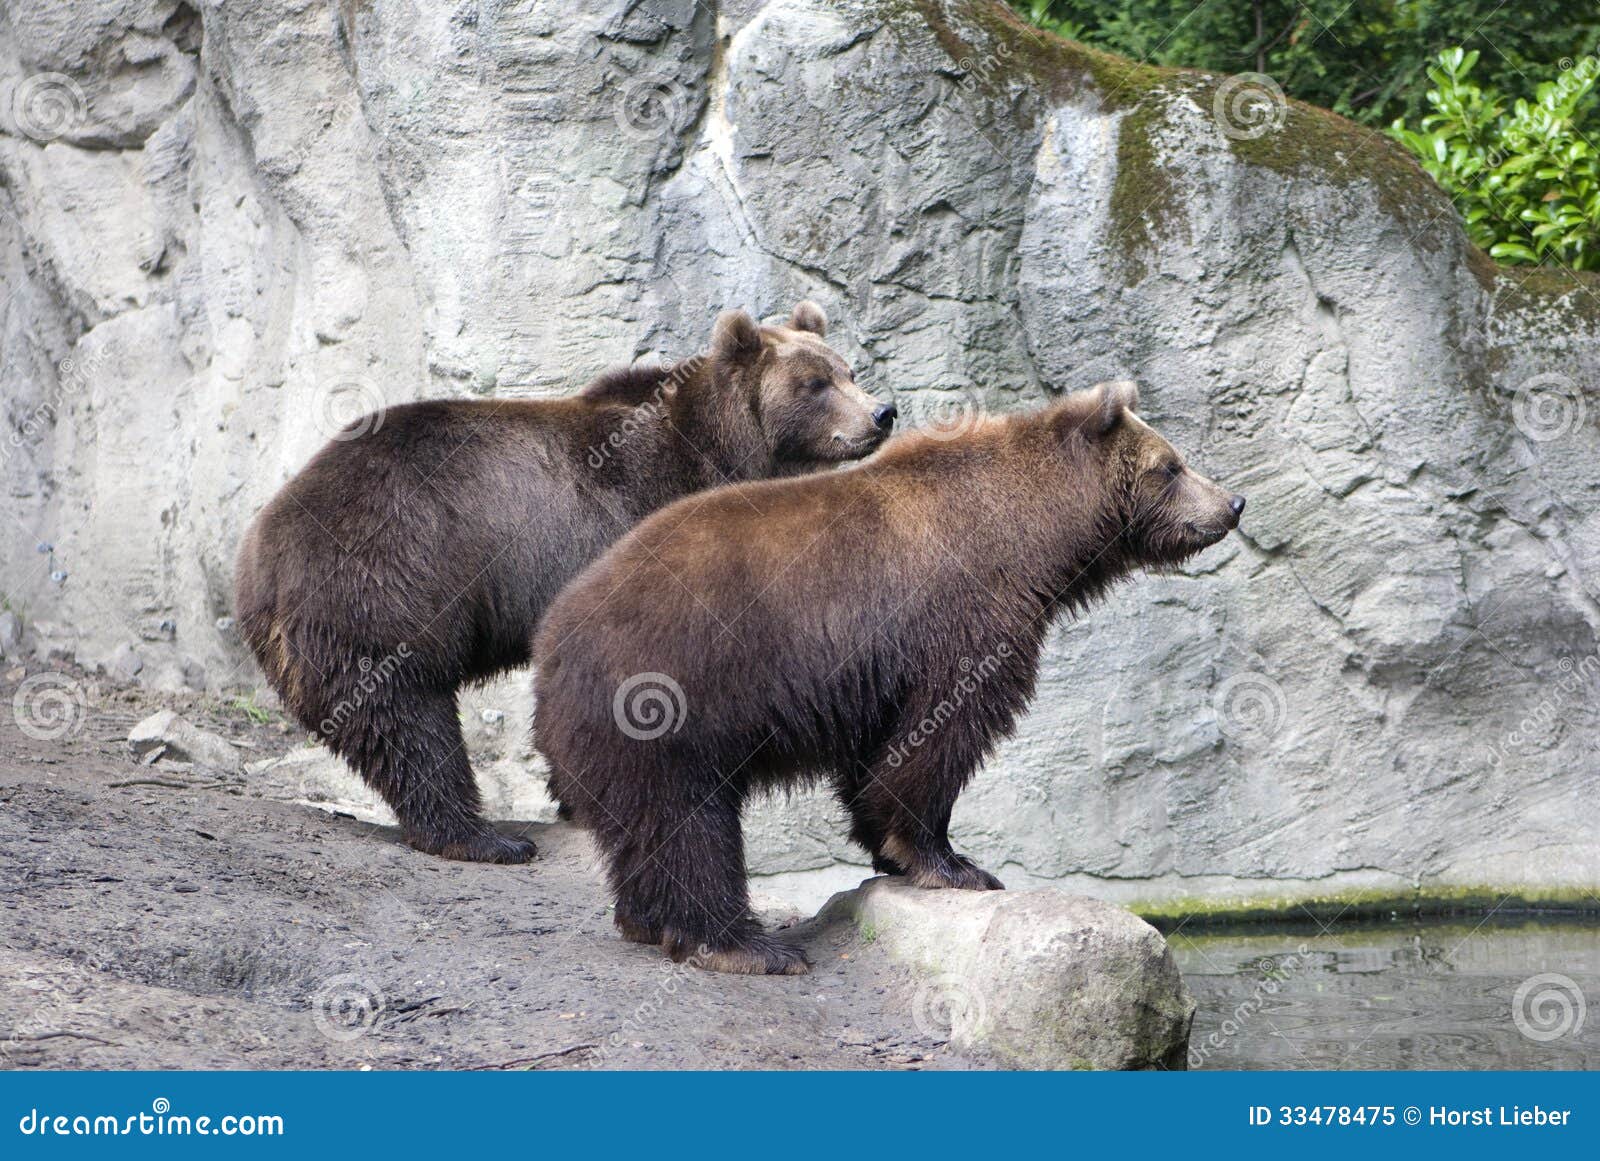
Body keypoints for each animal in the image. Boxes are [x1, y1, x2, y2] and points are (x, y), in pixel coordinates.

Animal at [235, 302, 894, 864]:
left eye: (849, 371)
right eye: (816, 384)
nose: (881, 413)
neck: (724, 451)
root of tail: (262, 549)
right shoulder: (634, 513)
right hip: (388, 581)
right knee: (409, 718)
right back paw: (484, 837)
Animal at [533, 380, 1244, 974]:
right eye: (1172, 465)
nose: (1233, 503)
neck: (1037, 539)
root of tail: (552, 639)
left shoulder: (875, 674)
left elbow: (879, 755)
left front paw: (889, 847)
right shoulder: (962, 618)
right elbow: (942, 736)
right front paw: (952, 862)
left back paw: (647, 921)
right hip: (666, 697)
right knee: (688, 823)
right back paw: (744, 944)